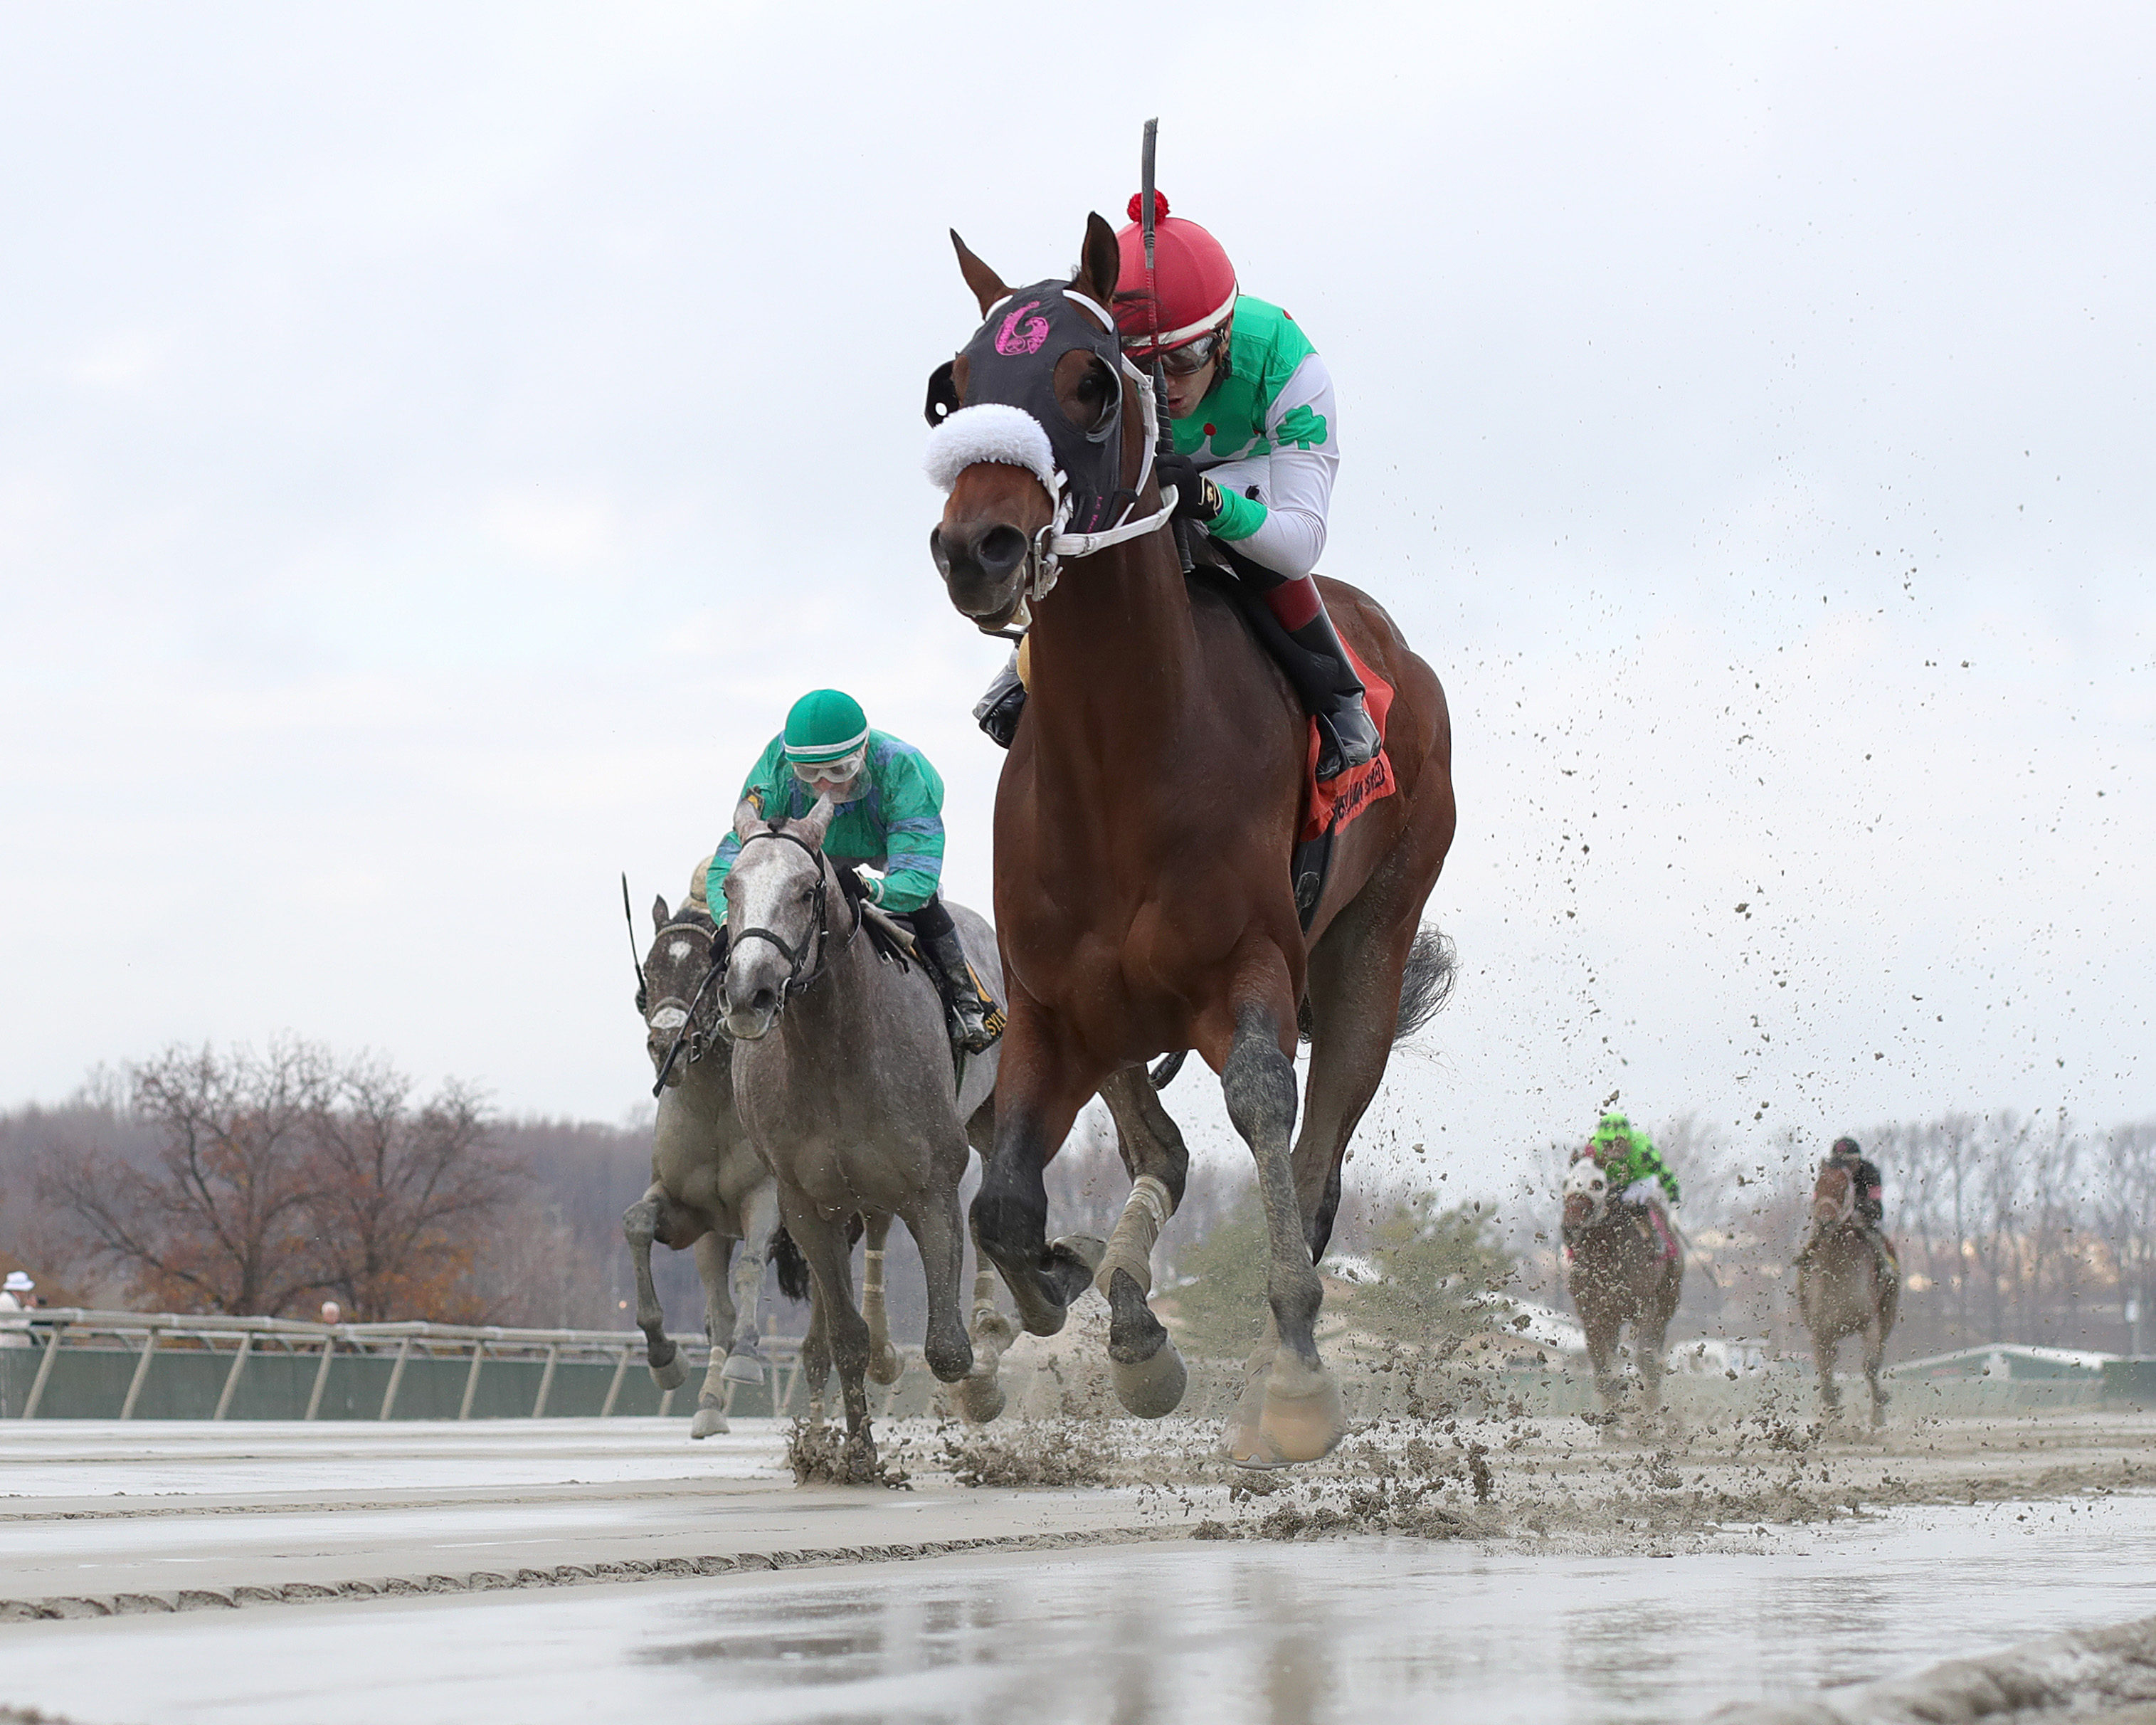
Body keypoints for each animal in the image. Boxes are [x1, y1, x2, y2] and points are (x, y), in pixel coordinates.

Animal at [624, 881, 893, 1437]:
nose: (665, 1046)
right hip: (714, 1236)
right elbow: (637, 1223)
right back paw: (709, 1404)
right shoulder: (687, 1211)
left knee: (825, 1317)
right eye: (650, 973)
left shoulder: (767, 1195)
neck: (713, 1104)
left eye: (703, 971)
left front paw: (748, 1357)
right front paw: (665, 1359)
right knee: (720, 1310)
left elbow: (750, 1267)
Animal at [717, 797, 1002, 1475]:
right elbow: (845, 1338)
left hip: (989, 1122)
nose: (748, 993)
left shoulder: (933, 1185)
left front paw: (978, 1388)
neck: (835, 1047)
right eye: (730, 886)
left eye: (806, 890)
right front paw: (858, 1456)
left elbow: (949, 1349)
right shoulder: (806, 1200)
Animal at [924, 214, 1457, 1467]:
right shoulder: (1052, 1005)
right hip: (1120, 1008)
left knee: (1315, 1158)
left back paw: (1267, 1374)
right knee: (1154, 1149)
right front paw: (1082, 1298)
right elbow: (1007, 1206)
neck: (1120, 759)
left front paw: (1294, 1374)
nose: (978, 545)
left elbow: (1264, 1112)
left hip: (1372, 943)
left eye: (1090, 381)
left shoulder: (1248, 969)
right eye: (954, 386)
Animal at [1561, 1159, 1684, 1434]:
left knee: (1653, 1356)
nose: (1570, 1226)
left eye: (1598, 1184)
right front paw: (1610, 1428)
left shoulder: (1645, 1306)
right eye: (1566, 1182)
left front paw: (1646, 1420)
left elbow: (1645, 1361)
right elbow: (1603, 1368)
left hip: (1665, 1306)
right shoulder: (1594, 1315)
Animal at [1796, 1160, 1899, 1427]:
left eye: (1843, 1189)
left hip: (1888, 1313)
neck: (1836, 1270)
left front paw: (1879, 1410)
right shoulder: (1821, 1331)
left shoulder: (1870, 1322)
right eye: (1819, 1185)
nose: (1824, 1221)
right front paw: (1833, 1416)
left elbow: (1871, 1366)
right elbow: (1826, 1378)